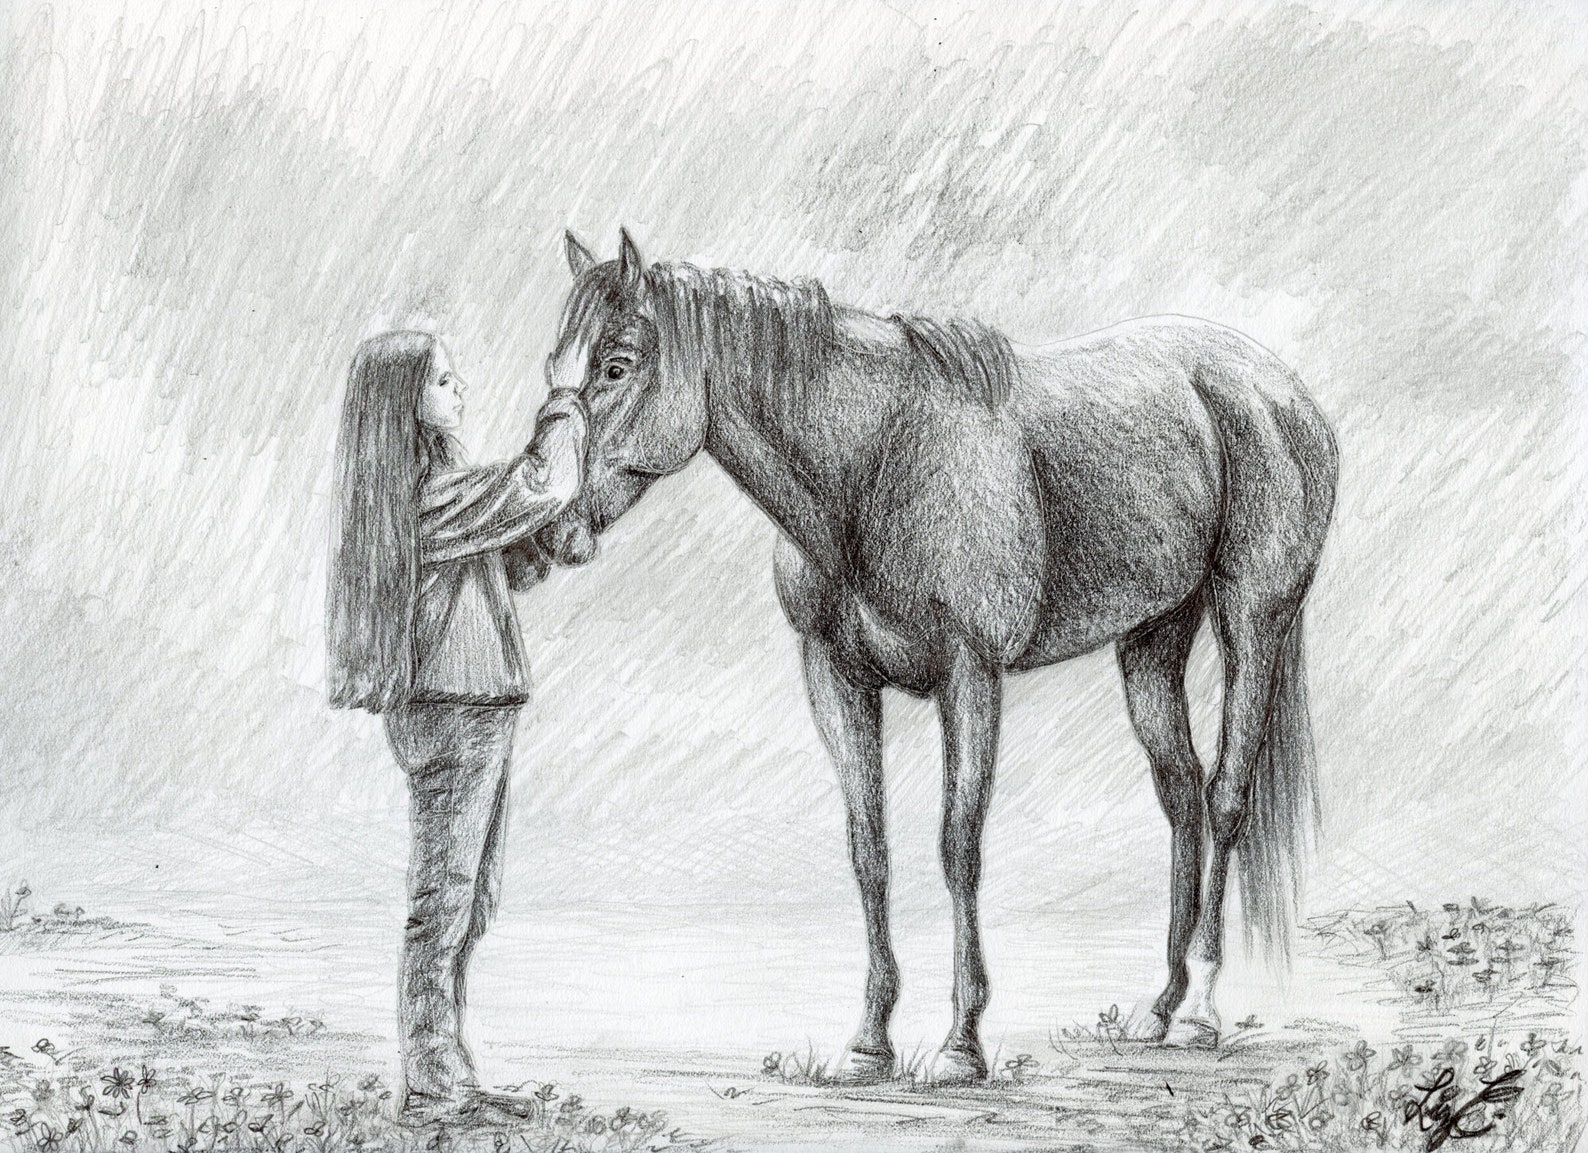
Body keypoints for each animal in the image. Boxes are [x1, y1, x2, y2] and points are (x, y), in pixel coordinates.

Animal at [536, 229, 1338, 1085]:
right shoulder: (836, 678)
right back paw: (1159, 1005)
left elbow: (959, 845)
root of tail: (1282, 389)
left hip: (1253, 617)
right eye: (556, 364)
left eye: (617, 366)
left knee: (1225, 797)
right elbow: (870, 850)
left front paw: (962, 1041)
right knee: (1182, 792)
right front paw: (869, 1042)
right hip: (1153, 636)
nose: (550, 524)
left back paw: (1199, 1012)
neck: (876, 461)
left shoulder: (971, 677)